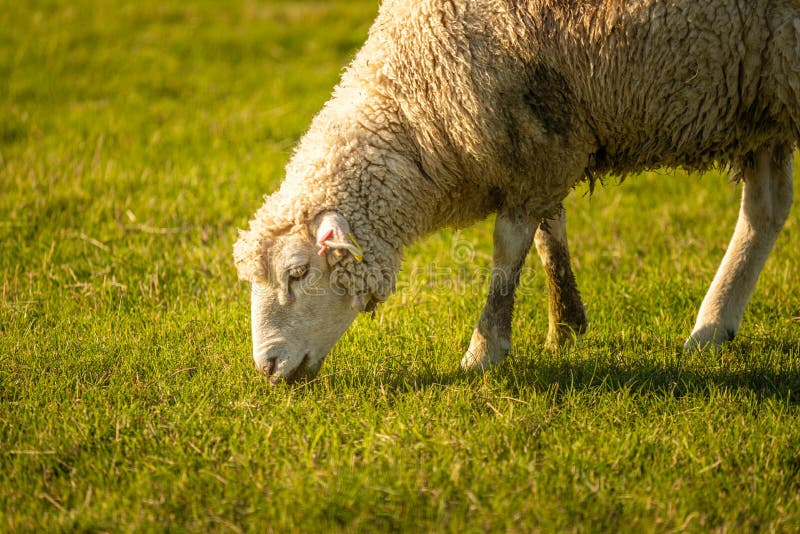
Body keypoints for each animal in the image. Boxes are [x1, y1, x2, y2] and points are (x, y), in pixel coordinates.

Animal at [234, 0, 800, 383]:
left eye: (297, 273)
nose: (267, 367)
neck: (420, 111)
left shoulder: (533, 139)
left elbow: (507, 255)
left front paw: (484, 352)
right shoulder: (543, 142)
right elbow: (551, 233)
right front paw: (566, 325)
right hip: (763, 101)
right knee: (765, 211)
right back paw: (714, 328)